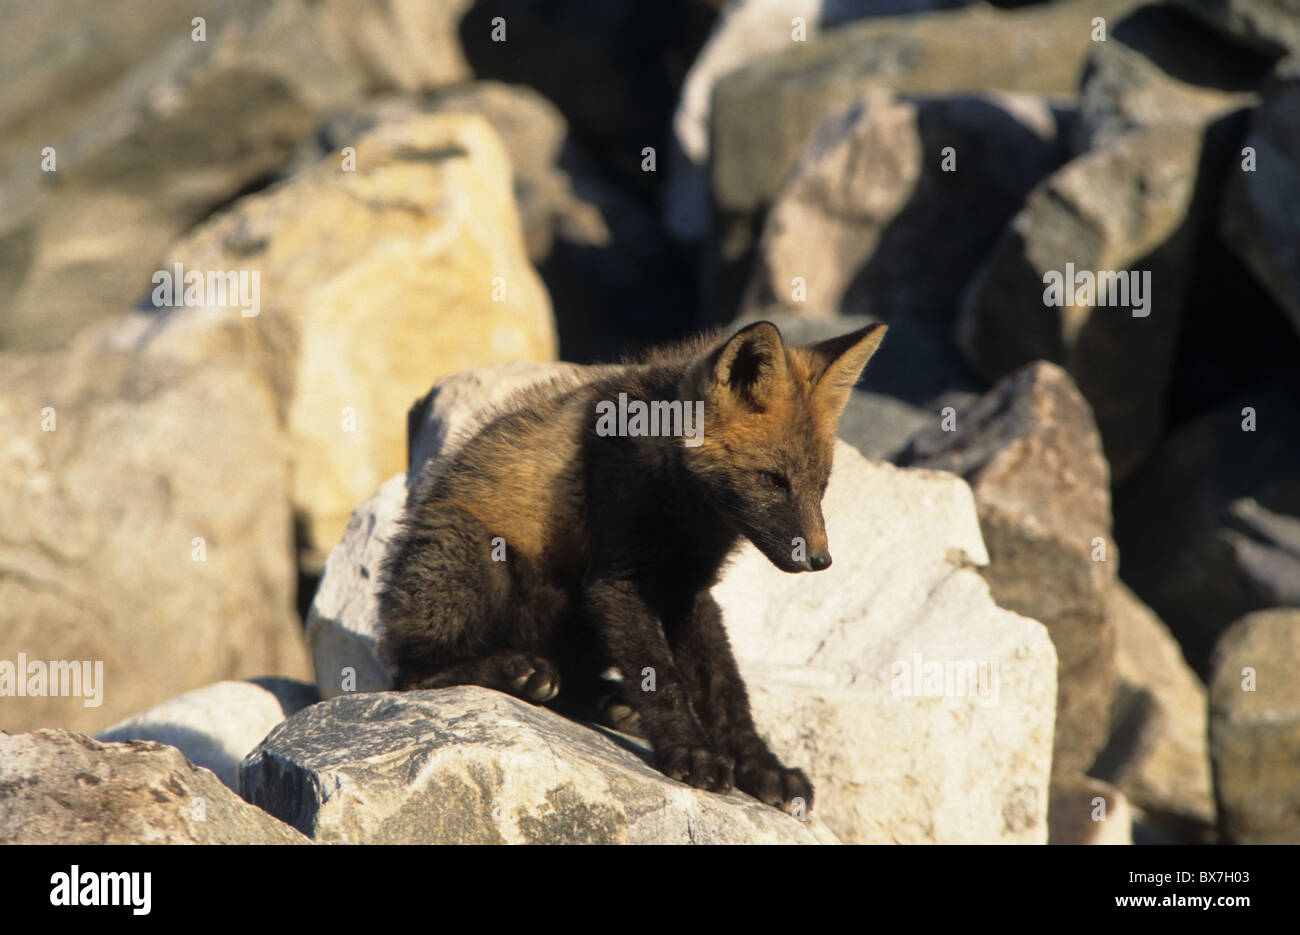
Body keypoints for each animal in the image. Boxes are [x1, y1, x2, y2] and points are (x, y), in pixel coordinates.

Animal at [378, 320, 887, 813]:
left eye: (821, 487)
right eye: (771, 480)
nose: (820, 560)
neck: (687, 514)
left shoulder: (689, 592)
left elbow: (726, 692)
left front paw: (762, 767)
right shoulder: (618, 580)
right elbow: (661, 678)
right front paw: (692, 752)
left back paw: (605, 701)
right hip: (476, 562)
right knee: (411, 678)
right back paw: (516, 672)